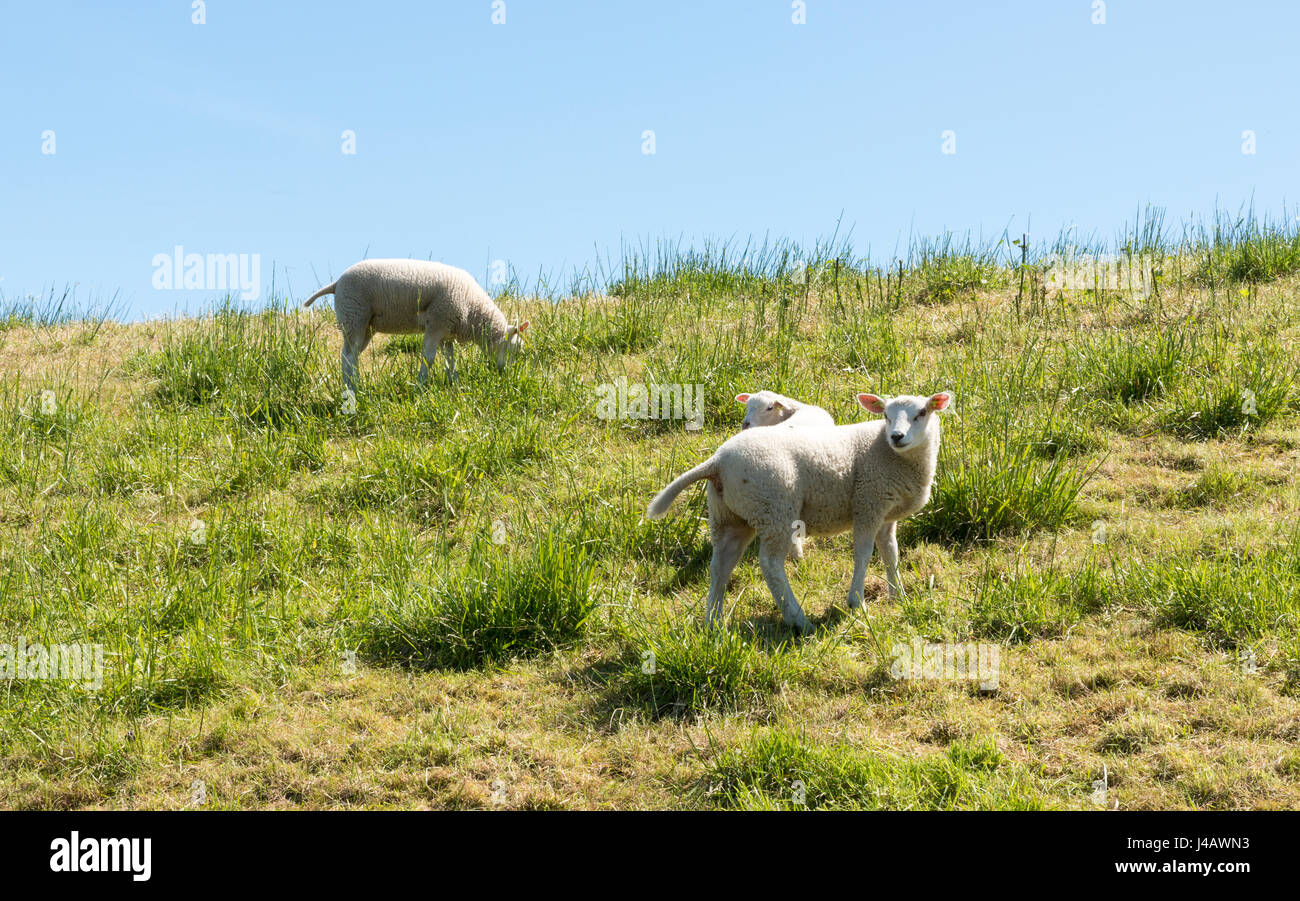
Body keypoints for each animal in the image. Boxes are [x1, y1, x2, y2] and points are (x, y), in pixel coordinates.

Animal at [302, 259, 530, 392]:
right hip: (354, 316)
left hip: (363, 324)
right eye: (514, 349)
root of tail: (336, 284)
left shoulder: (447, 330)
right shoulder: (436, 323)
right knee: (348, 357)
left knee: (349, 355)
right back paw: (354, 387)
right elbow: (429, 358)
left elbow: (450, 359)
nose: (506, 375)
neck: (474, 311)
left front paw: (454, 382)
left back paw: (352, 385)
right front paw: (420, 386)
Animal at [646, 390, 953, 634]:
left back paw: (713, 623)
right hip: (775, 508)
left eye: (922, 412)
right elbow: (864, 554)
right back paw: (798, 620)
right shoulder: (868, 503)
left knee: (720, 566)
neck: (889, 455)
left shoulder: (885, 512)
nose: (897, 436)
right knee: (770, 566)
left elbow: (891, 553)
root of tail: (717, 461)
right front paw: (857, 602)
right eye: (887, 415)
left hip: (730, 516)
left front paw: (898, 595)